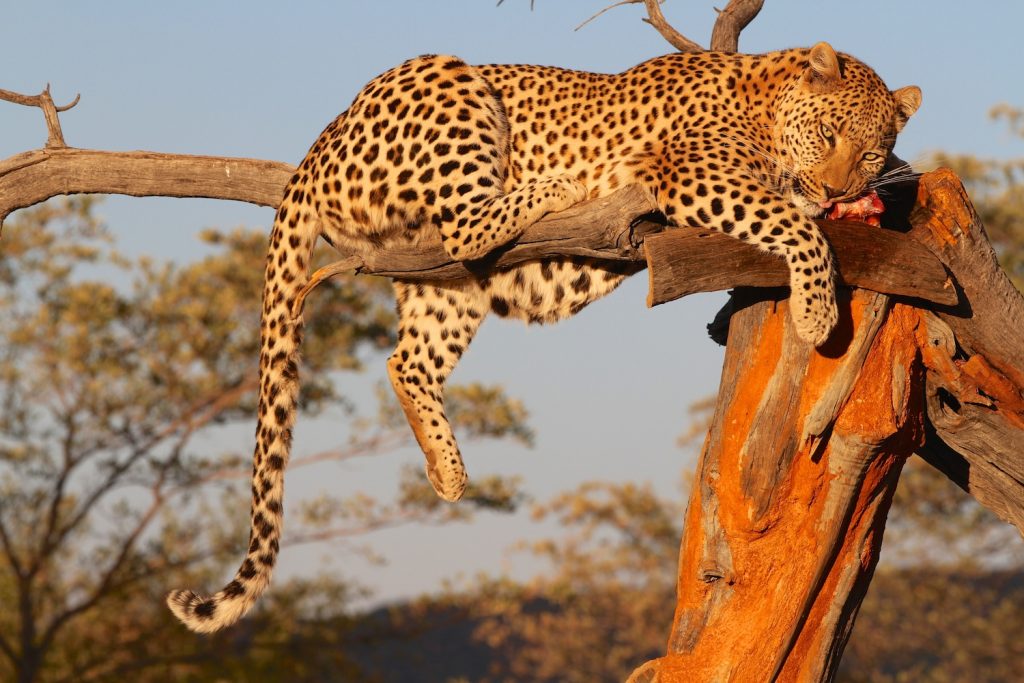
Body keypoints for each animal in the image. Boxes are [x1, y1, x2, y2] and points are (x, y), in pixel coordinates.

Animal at [167, 41, 921, 632]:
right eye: (829, 134)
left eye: (870, 152)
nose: (837, 188)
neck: (764, 103)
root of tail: (321, 138)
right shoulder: (694, 171)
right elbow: (793, 225)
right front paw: (817, 310)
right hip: (448, 81)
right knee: (468, 222)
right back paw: (560, 186)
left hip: (444, 281)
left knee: (406, 356)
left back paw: (447, 468)